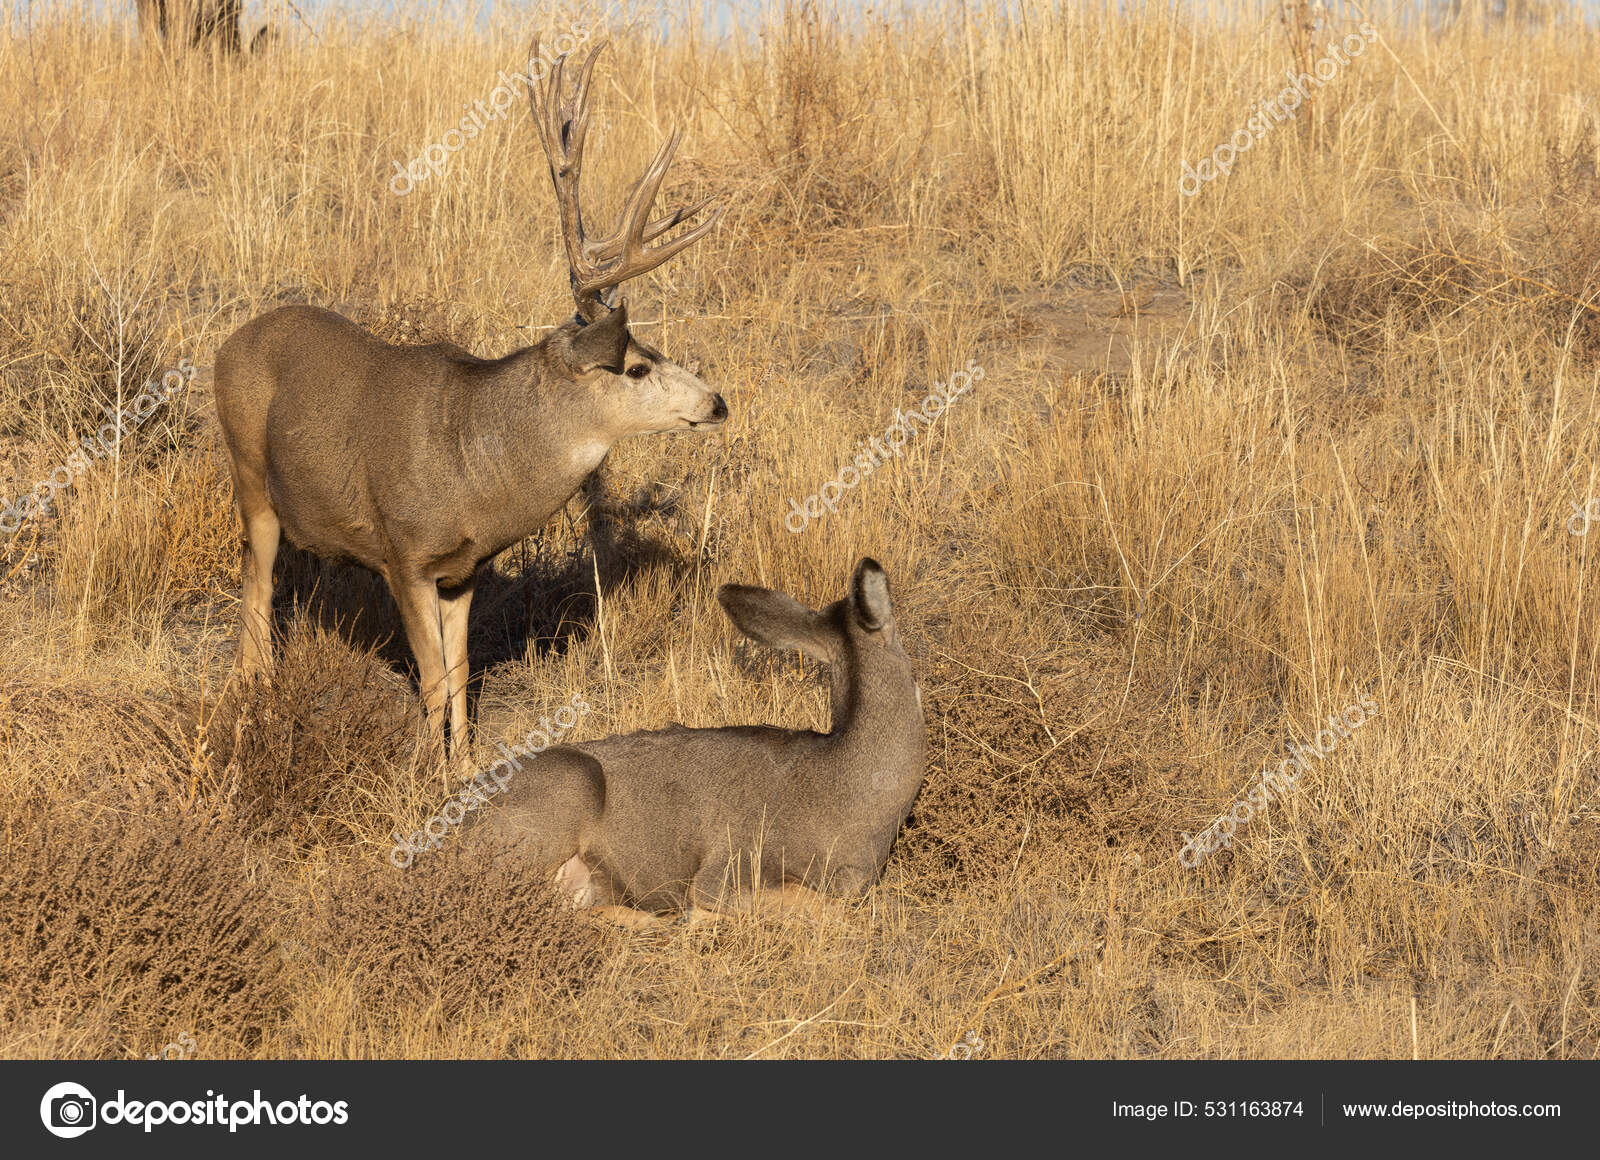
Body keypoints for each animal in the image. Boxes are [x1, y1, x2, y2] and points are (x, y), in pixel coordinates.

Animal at [212, 42, 726, 765]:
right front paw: (427, 770)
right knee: (254, 590)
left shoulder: (463, 570)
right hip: (249, 476)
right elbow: (430, 678)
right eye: (636, 365)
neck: (475, 466)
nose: (717, 401)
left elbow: (459, 673)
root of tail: (227, 343)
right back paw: (252, 696)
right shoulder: (403, 553)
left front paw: (465, 763)